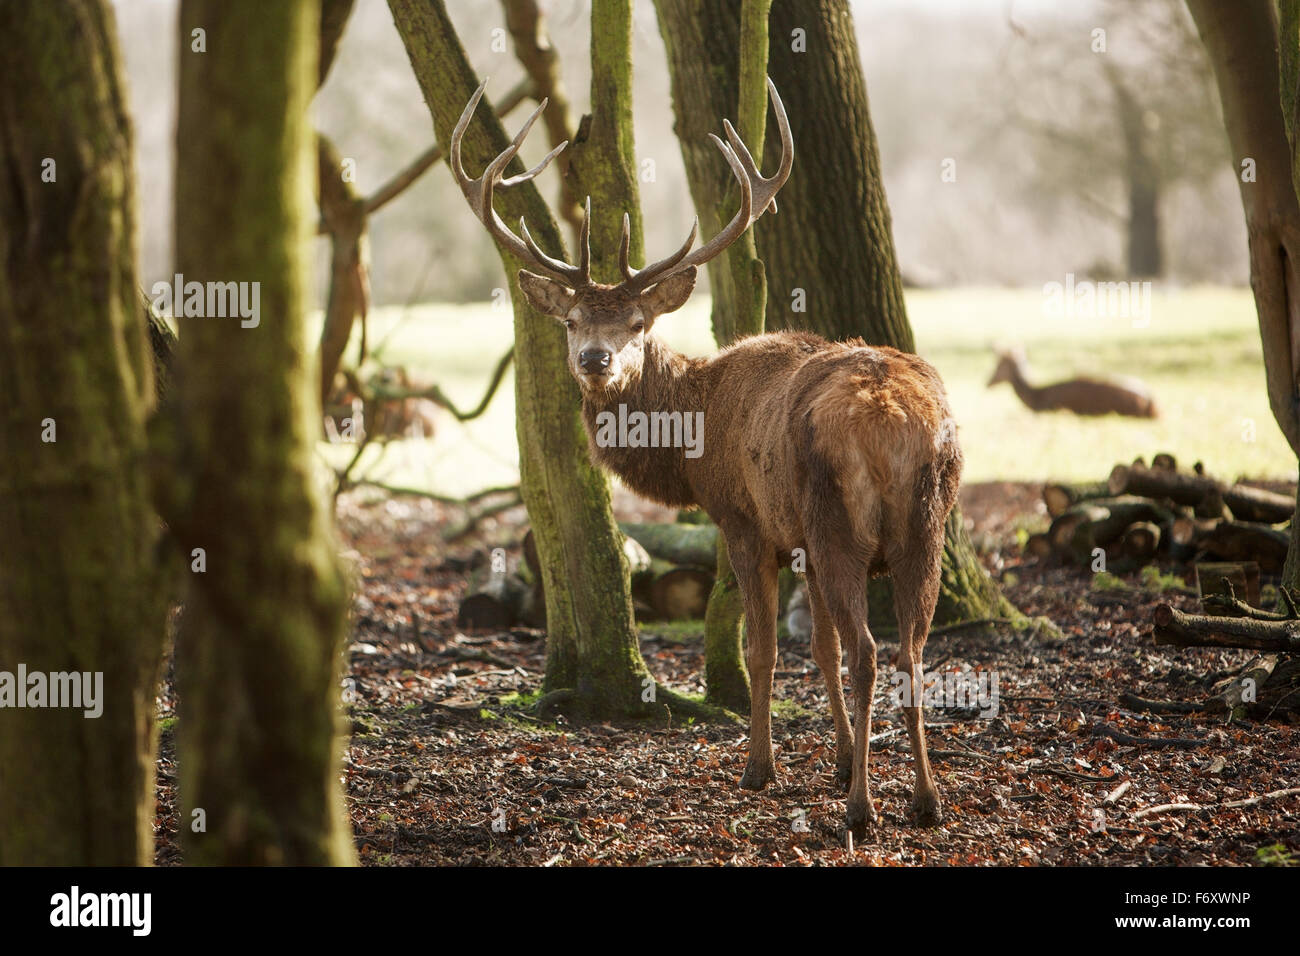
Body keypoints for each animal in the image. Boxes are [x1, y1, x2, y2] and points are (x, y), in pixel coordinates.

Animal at [449, 77, 962, 839]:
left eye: (638, 323)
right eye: (571, 320)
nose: (595, 359)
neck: (692, 438)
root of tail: (896, 419)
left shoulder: (746, 519)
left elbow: (764, 648)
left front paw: (762, 768)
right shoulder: (798, 538)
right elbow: (822, 648)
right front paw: (838, 760)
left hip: (837, 517)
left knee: (874, 651)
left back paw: (864, 809)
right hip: (927, 522)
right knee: (913, 649)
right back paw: (925, 801)